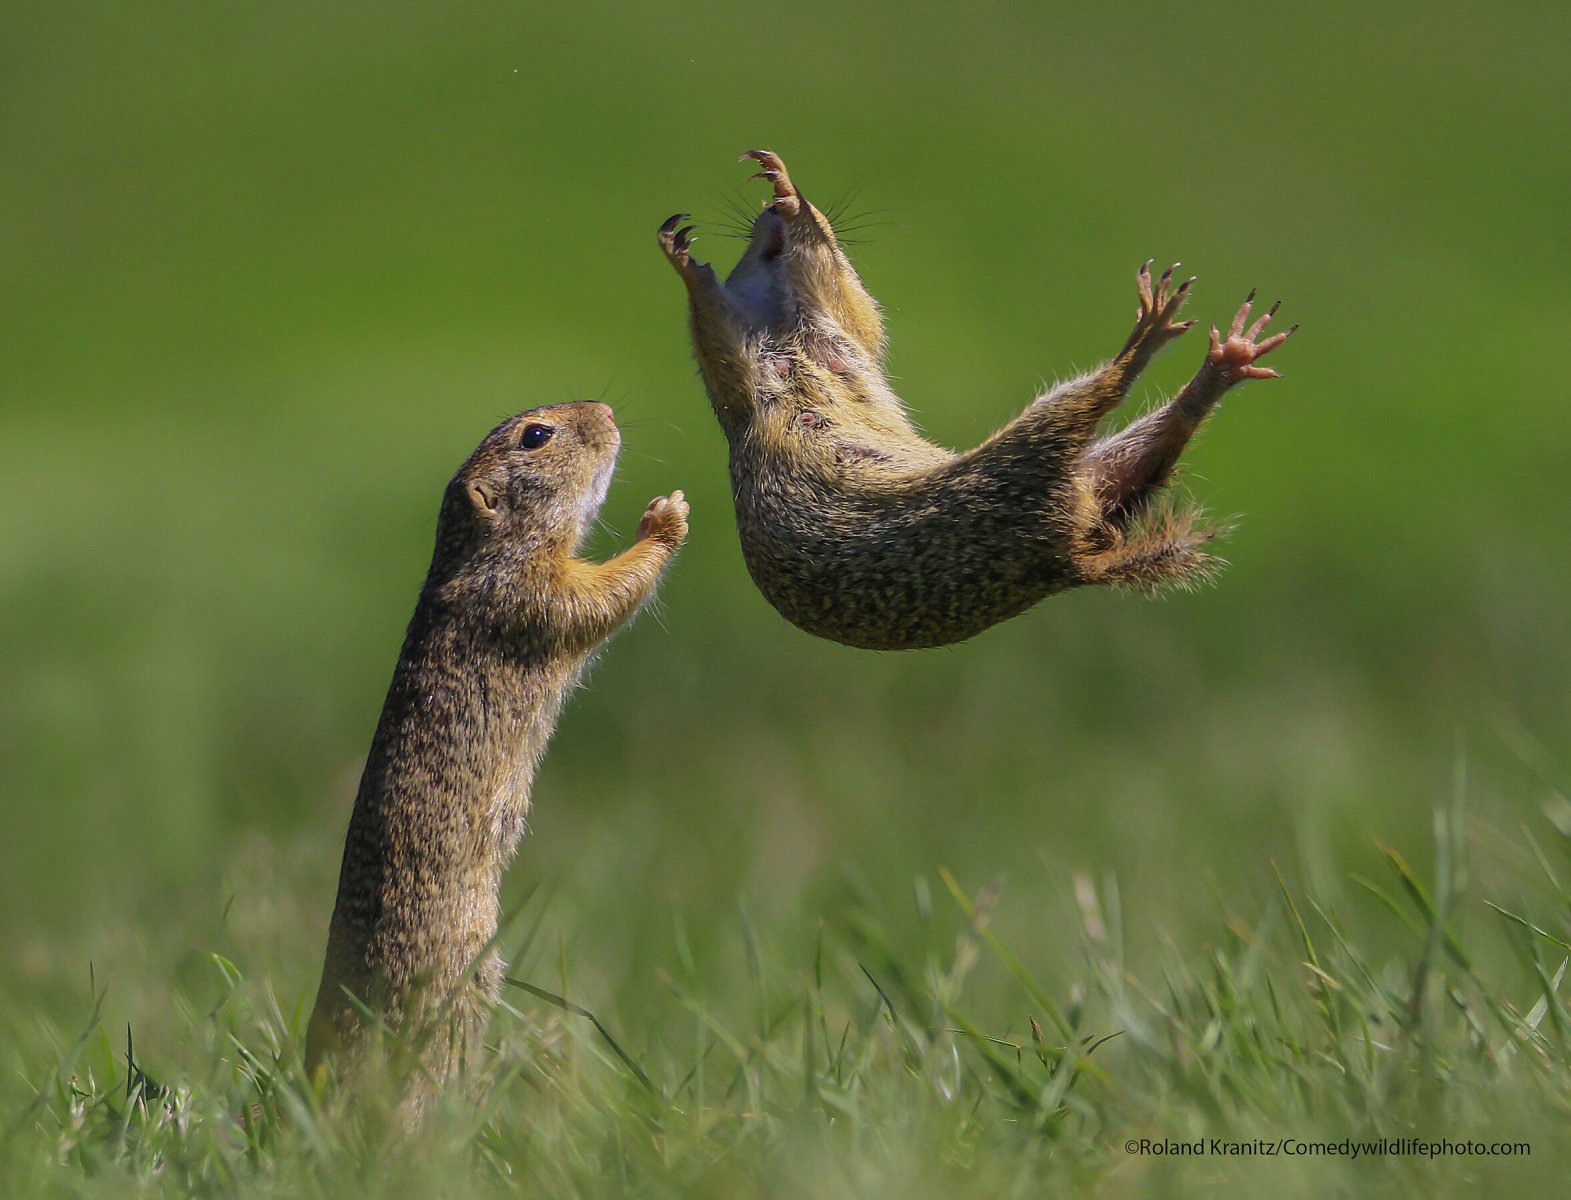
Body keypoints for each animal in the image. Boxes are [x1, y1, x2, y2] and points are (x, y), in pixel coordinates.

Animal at [309, 402, 691, 1118]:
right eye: (536, 436)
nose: (607, 411)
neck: (474, 553)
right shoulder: (530, 594)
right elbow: (603, 592)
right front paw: (666, 518)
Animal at [656, 155, 1294, 656]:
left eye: (827, 226)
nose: (779, 214)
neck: (790, 332)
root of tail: (1065, 557)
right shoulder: (744, 376)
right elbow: (717, 336)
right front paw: (685, 259)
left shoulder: (841, 328)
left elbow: (849, 301)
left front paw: (782, 188)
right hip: (1032, 449)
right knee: (1115, 406)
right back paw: (1173, 346)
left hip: (1039, 453)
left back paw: (1198, 355)